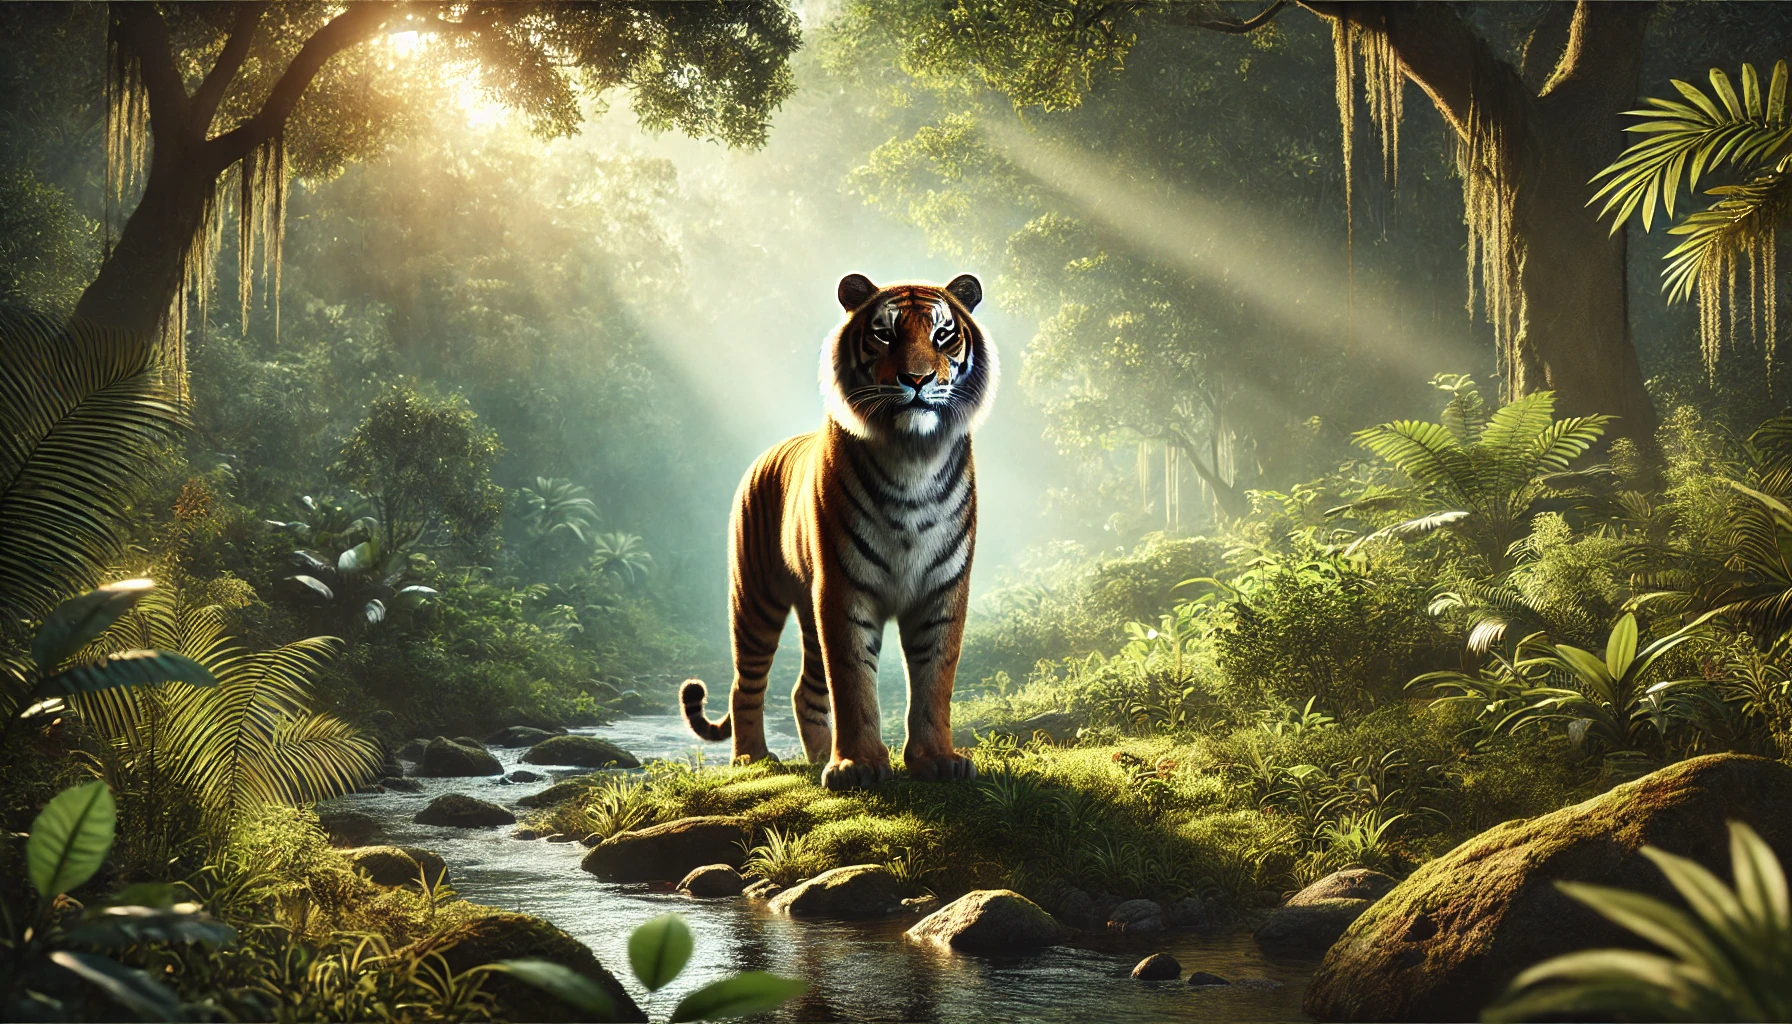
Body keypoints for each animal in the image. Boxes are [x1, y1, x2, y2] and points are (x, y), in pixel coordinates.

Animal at [680, 272, 996, 791]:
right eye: (884, 334)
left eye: (942, 334)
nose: (917, 380)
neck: (912, 454)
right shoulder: (845, 588)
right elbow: (852, 681)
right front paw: (858, 766)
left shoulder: (943, 588)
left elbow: (935, 678)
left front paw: (938, 760)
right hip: (756, 598)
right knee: (745, 684)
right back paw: (751, 759)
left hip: (806, 611)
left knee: (804, 691)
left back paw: (815, 757)